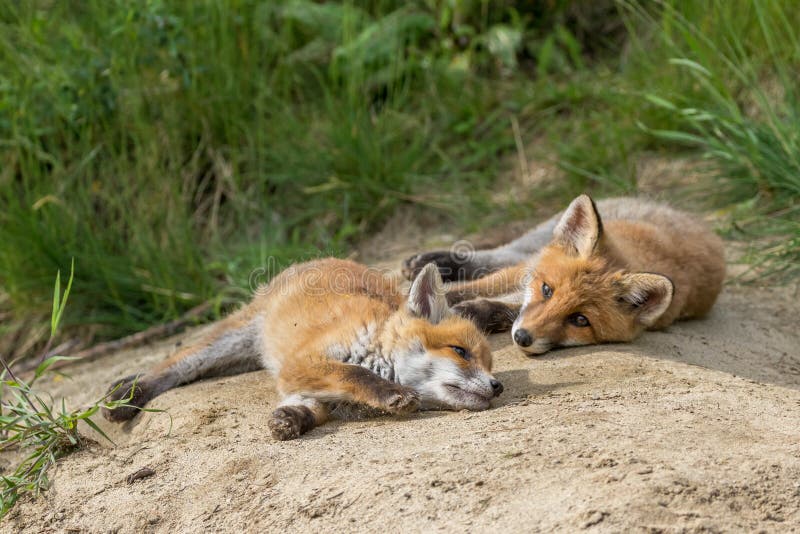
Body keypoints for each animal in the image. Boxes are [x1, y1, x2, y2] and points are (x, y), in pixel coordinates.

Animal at [101, 258, 503, 440]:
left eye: (489, 365)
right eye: (460, 352)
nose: (497, 386)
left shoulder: (308, 386)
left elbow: (310, 407)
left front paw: (291, 418)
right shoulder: (300, 364)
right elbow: (353, 373)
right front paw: (391, 394)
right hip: (229, 340)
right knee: (176, 366)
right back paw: (128, 395)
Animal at [403, 195, 726, 355]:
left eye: (580, 320)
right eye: (547, 290)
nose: (522, 338)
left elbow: (505, 307)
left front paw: (473, 312)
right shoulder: (529, 272)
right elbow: (473, 287)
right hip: (535, 245)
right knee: (499, 255)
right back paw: (433, 261)